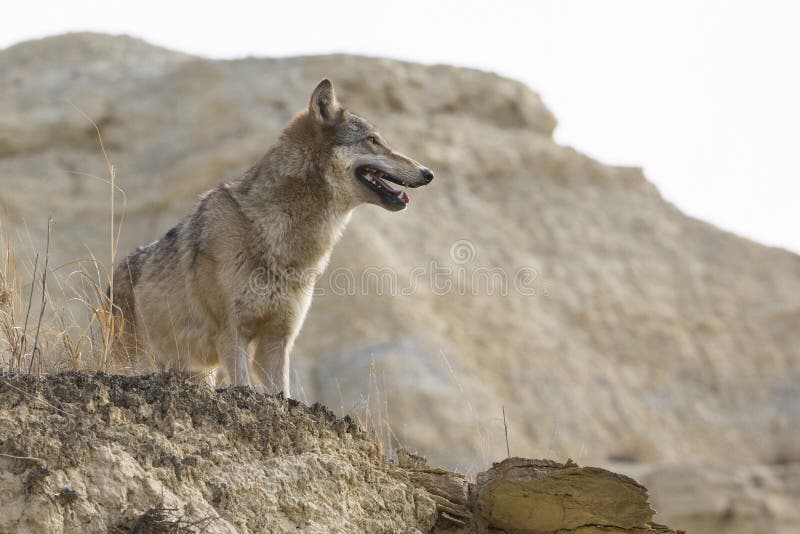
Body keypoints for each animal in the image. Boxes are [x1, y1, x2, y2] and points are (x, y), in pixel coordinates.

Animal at [109, 79, 433, 396]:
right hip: (136, 360)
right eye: (373, 140)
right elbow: (244, 386)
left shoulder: (277, 340)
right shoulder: (232, 333)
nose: (428, 173)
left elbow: (282, 394)